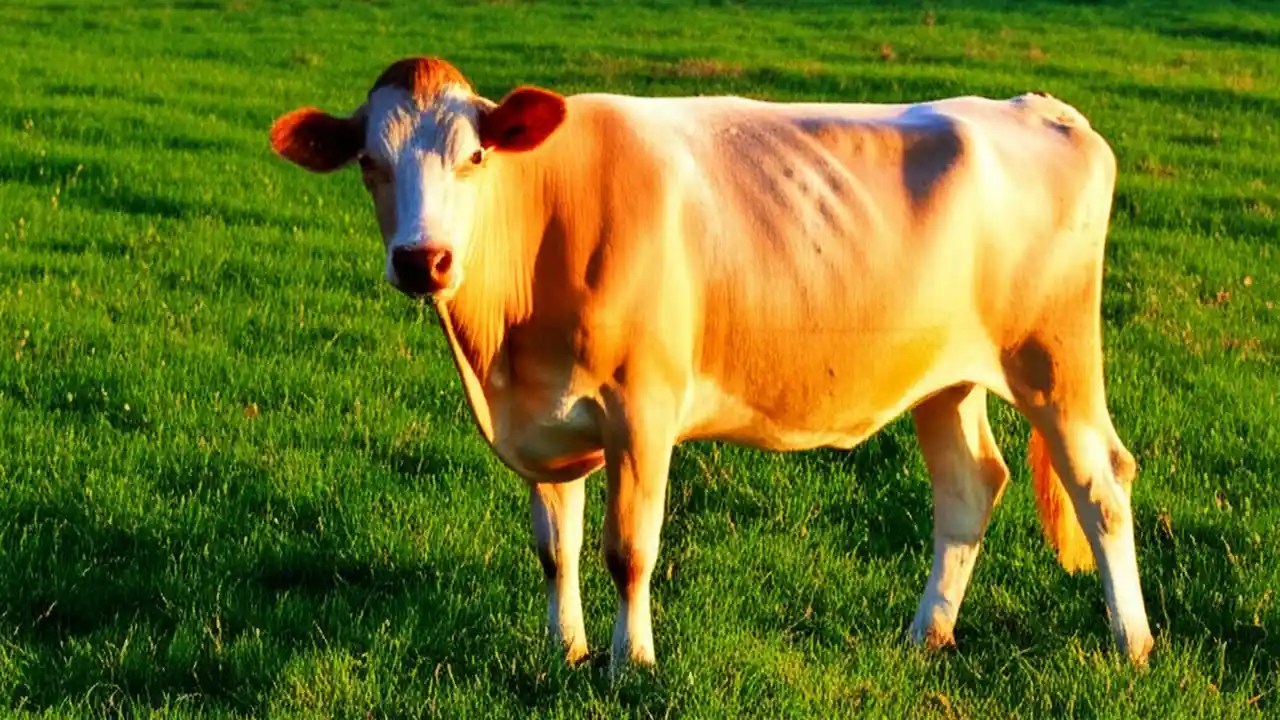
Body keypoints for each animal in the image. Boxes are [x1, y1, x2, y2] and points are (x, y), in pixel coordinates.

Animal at [269, 56, 1153, 670]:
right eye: (368, 163)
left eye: (476, 157)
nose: (424, 260)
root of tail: (1038, 107)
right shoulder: (545, 421)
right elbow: (556, 548)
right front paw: (567, 652)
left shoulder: (642, 408)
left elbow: (629, 549)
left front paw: (632, 663)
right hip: (947, 373)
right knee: (969, 486)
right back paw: (924, 636)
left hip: (1053, 359)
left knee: (1101, 488)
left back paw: (1132, 644)